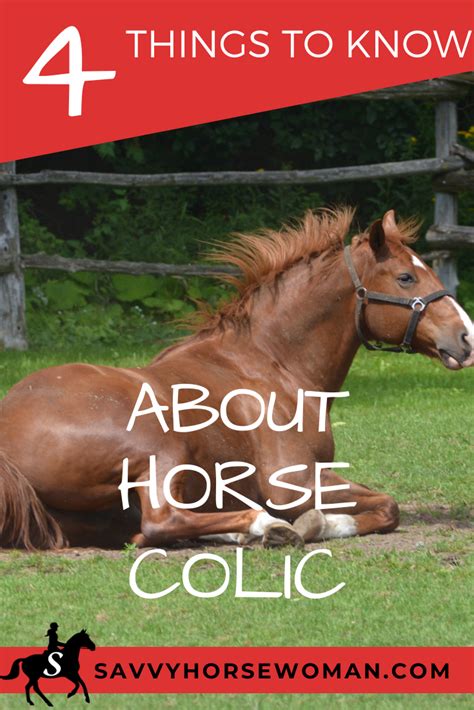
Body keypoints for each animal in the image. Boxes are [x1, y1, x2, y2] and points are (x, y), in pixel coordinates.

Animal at [0, 208, 472, 550]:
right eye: (406, 277)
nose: (466, 336)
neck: (271, 362)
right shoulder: (292, 482)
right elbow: (389, 507)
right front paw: (315, 524)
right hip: (162, 447)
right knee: (162, 521)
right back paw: (264, 526)